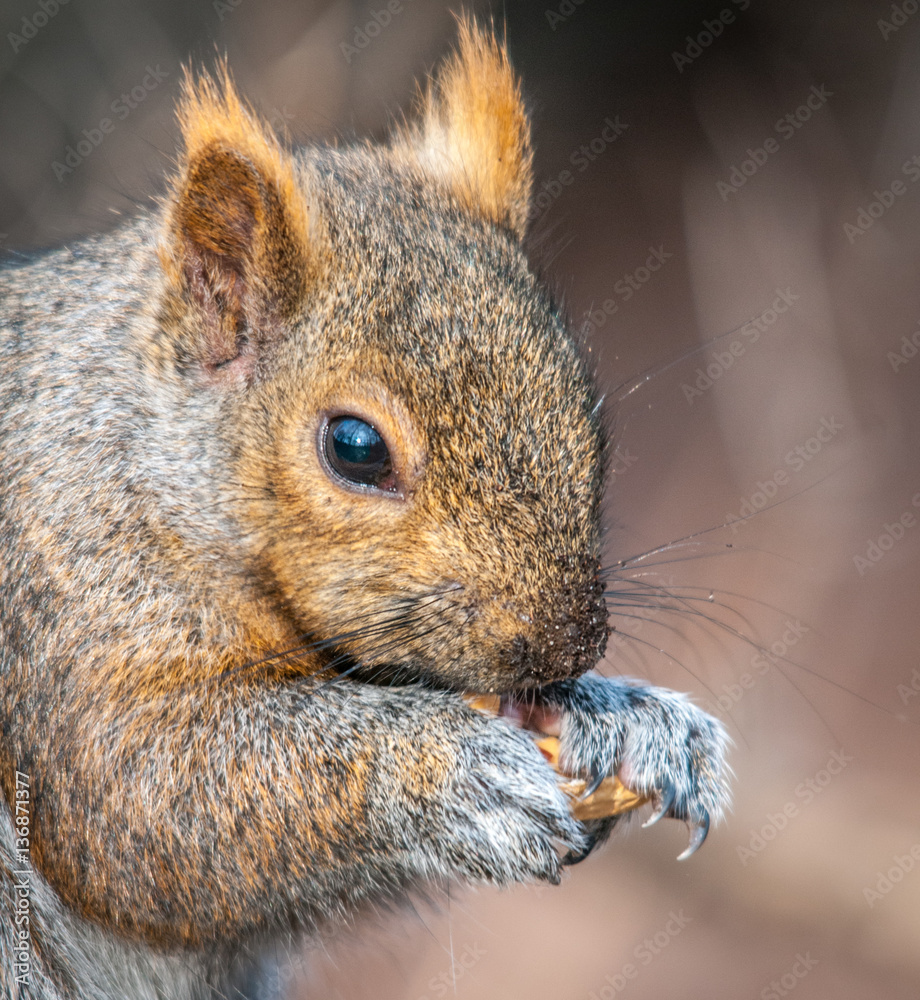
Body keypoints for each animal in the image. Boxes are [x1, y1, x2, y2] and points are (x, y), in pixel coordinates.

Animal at [0, 21, 730, 1000]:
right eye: (355, 448)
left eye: (583, 401)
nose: (568, 649)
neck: (153, 475)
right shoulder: (64, 636)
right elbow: (148, 804)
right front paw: (453, 776)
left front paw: (630, 723)